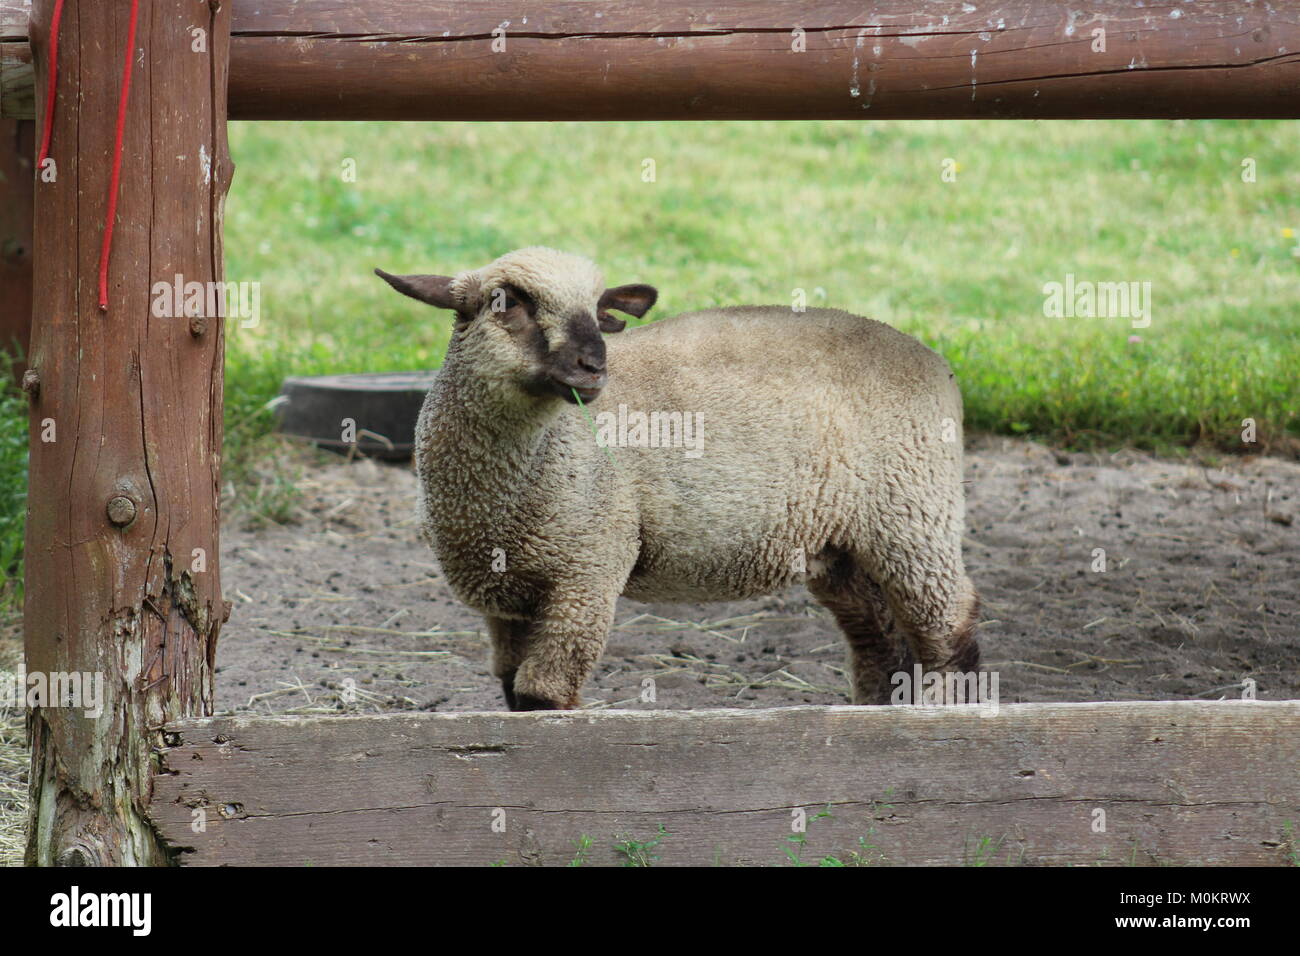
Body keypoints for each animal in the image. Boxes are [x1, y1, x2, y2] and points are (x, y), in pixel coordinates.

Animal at [375, 247, 980, 711]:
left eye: (598, 310)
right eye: (507, 302)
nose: (594, 365)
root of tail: (934, 360)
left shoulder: (589, 572)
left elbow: (542, 694)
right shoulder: (507, 601)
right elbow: (510, 690)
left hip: (912, 514)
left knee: (951, 625)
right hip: (843, 545)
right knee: (880, 643)